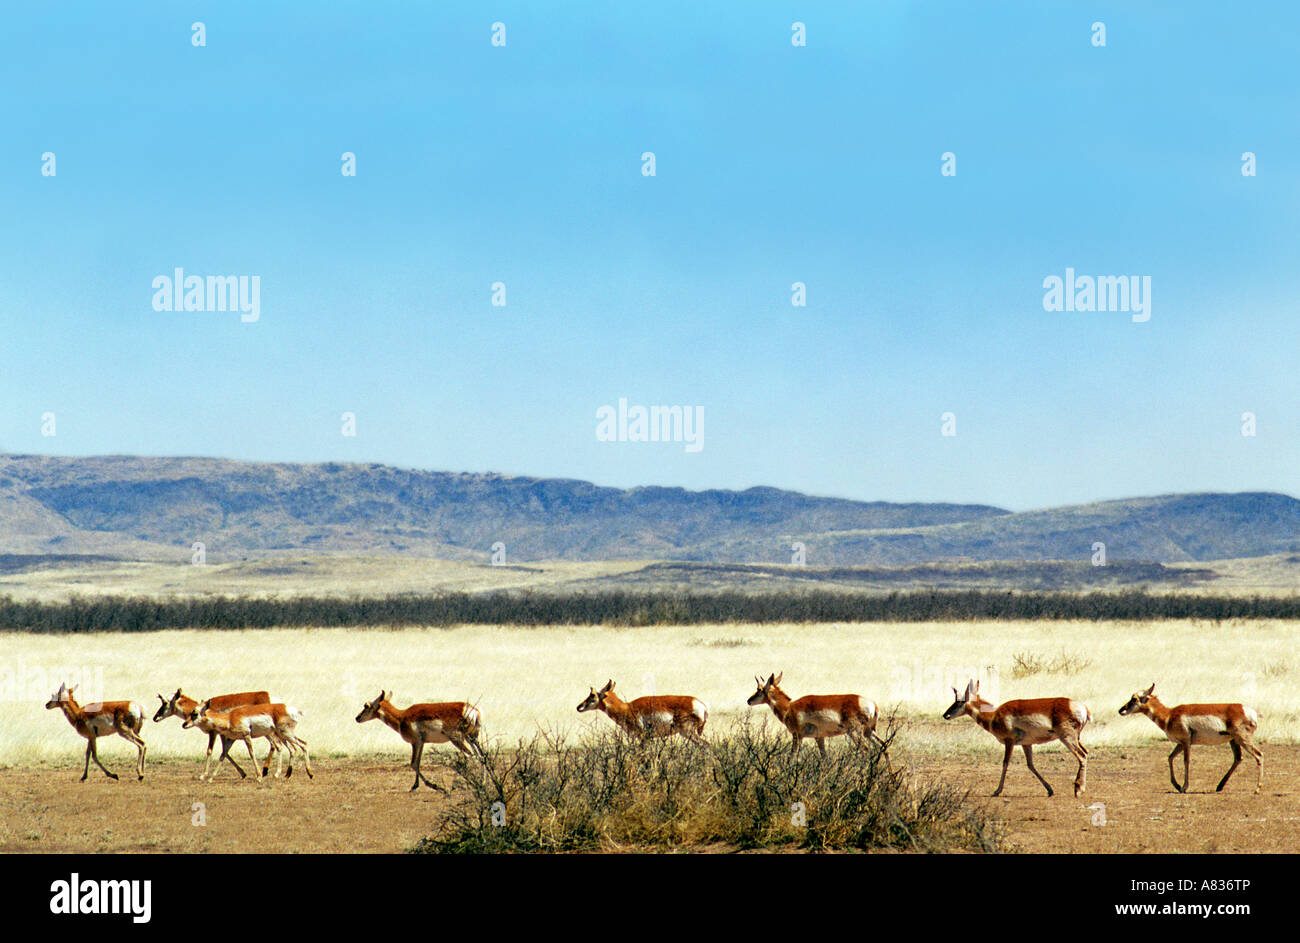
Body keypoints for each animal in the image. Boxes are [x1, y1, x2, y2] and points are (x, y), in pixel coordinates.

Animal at [576, 680, 709, 743]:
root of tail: (701, 704)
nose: (579, 707)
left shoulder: (643, 737)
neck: (627, 707)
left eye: (592, 695)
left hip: (687, 732)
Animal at [746, 672, 885, 756]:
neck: (790, 707)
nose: (748, 700)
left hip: (855, 732)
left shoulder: (797, 736)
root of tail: (872, 703)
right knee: (883, 746)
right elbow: (824, 758)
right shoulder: (819, 738)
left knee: (865, 749)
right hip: (868, 732)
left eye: (759, 690)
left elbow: (792, 756)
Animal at [942, 679, 1090, 797]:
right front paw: (1049, 790)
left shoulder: (1009, 742)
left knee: (1082, 756)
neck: (994, 715)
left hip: (1067, 738)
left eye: (959, 702)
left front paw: (997, 791)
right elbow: (1030, 765)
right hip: (1076, 739)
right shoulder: (1026, 744)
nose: (945, 715)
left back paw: (1078, 790)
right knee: (1086, 752)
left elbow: (1005, 763)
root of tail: (1082, 707)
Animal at [1118, 683, 1262, 794]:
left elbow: (1186, 761)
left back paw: (1256, 790)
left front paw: (1183, 787)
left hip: (1243, 740)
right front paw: (1177, 786)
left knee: (1259, 755)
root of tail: (1248, 710)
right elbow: (1170, 758)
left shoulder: (1186, 742)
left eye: (1134, 698)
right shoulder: (1180, 743)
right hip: (1234, 741)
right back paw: (1219, 786)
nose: (1121, 710)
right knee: (1238, 758)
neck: (1169, 714)